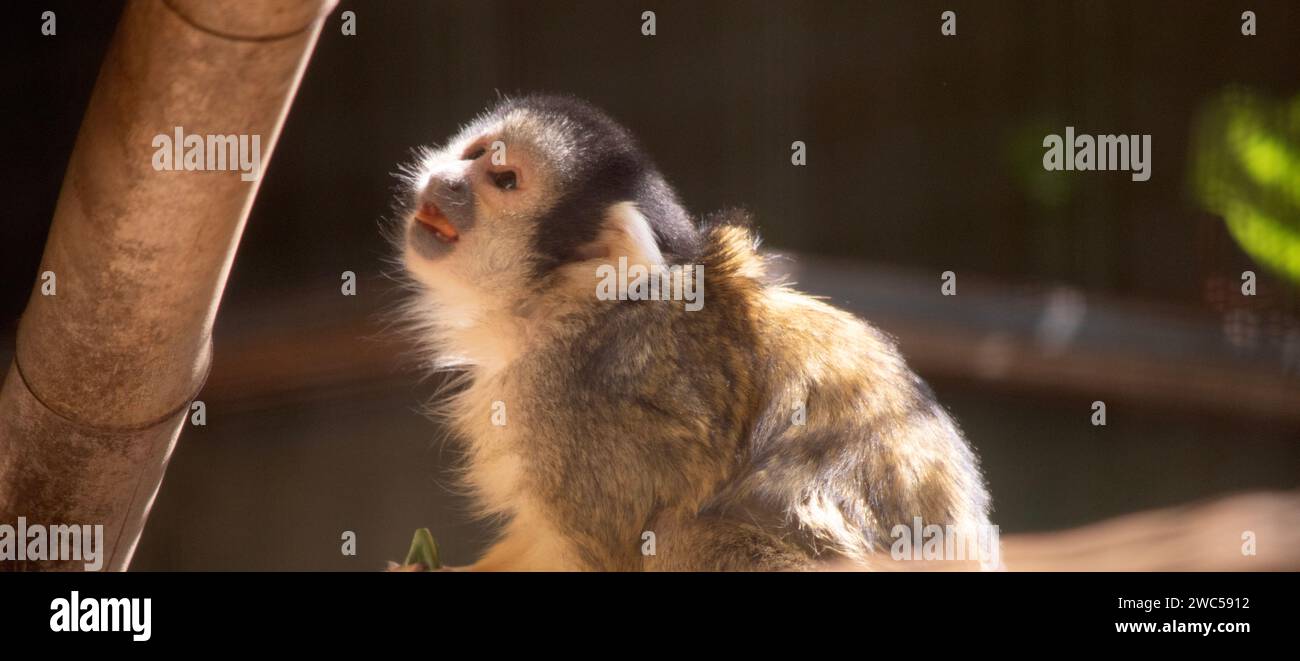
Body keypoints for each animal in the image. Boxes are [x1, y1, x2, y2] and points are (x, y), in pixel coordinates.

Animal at [392, 94, 992, 571]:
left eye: (504, 180)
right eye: (474, 154)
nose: (445, 179)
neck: (572, 310)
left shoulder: (574, 404)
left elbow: (608, 553)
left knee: (683, 534)